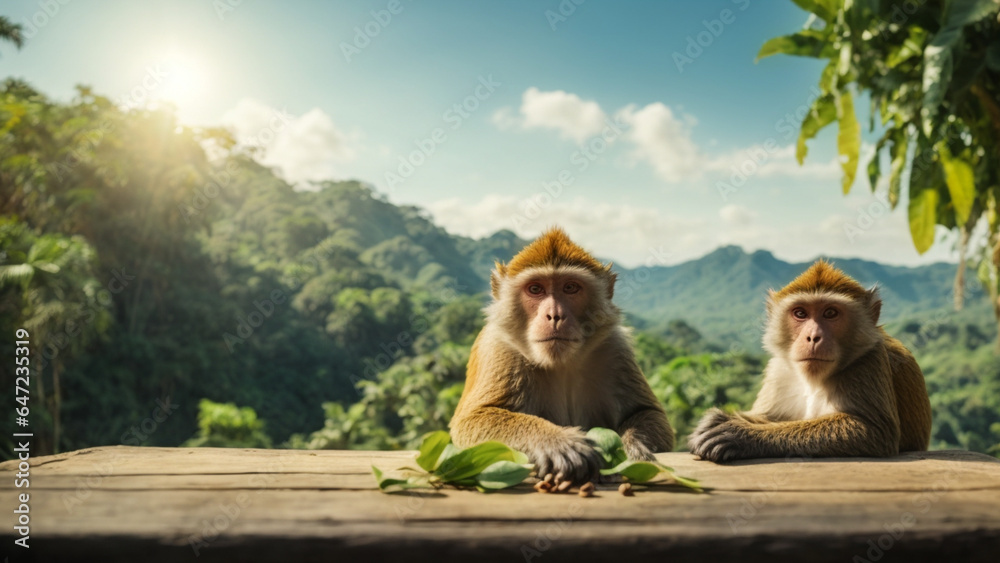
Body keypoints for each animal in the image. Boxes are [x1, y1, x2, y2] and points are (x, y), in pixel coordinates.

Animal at [449, 227, 674, 484]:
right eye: (535, 289)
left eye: (570, 288)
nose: (554, 315)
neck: (561, 363)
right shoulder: (499, 347)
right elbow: (470, 420)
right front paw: (555, 441)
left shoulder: (616, 348)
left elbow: (648, 412)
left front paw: (630, 450)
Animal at [688, 260, 932, 462]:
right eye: (800, 313)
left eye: (830, 313)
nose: (813, 337)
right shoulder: (779, 369)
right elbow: (767, 415)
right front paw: (716, 421)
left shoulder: (869, 359)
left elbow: (874, 429)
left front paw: (738, 434)